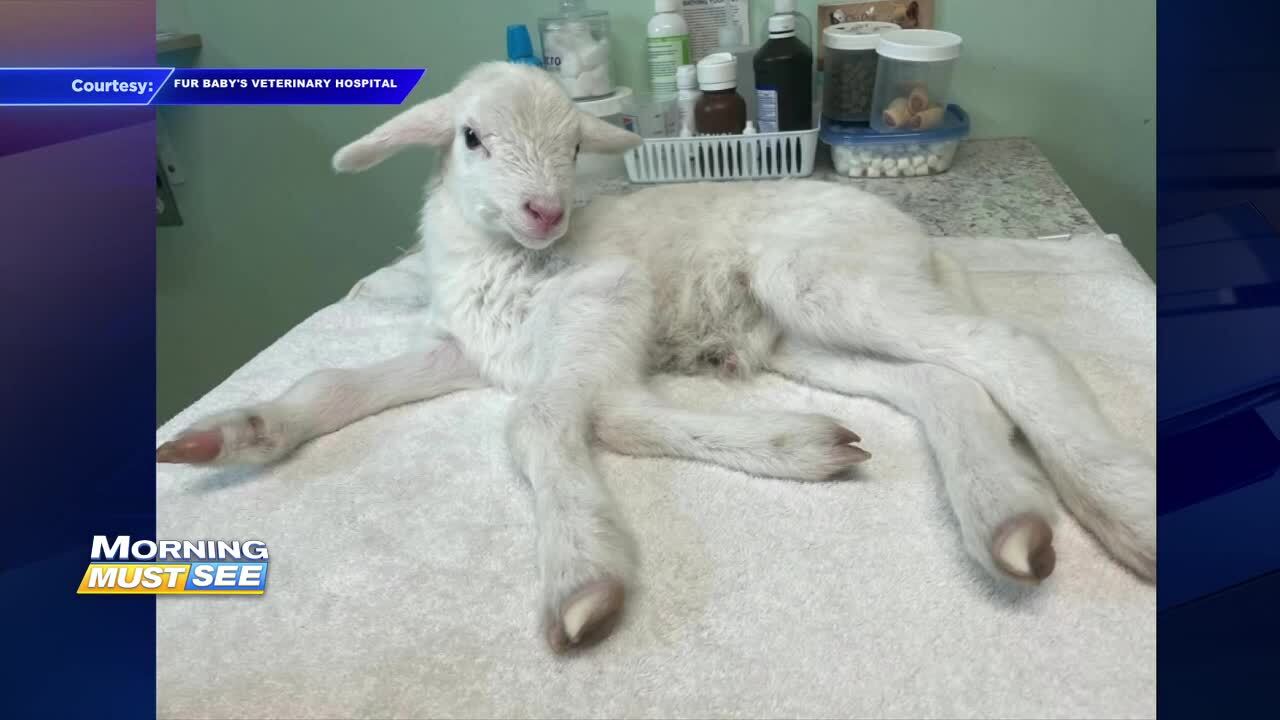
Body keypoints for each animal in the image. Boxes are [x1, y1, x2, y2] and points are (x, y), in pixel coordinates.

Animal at [156, 62, 1156, 653]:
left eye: (571, 145)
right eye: (471, 137)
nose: (546, 211)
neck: (516, 265)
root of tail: (918, 237)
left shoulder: (602, 305)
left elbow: (549, 422)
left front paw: (582, 580)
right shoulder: (493, 350)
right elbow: (341, 381)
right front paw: (222, 435)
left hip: (821, 279)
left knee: (1006, 345)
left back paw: (1124, 510)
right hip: (811, 338)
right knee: (944, 382)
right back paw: (1004, 520)